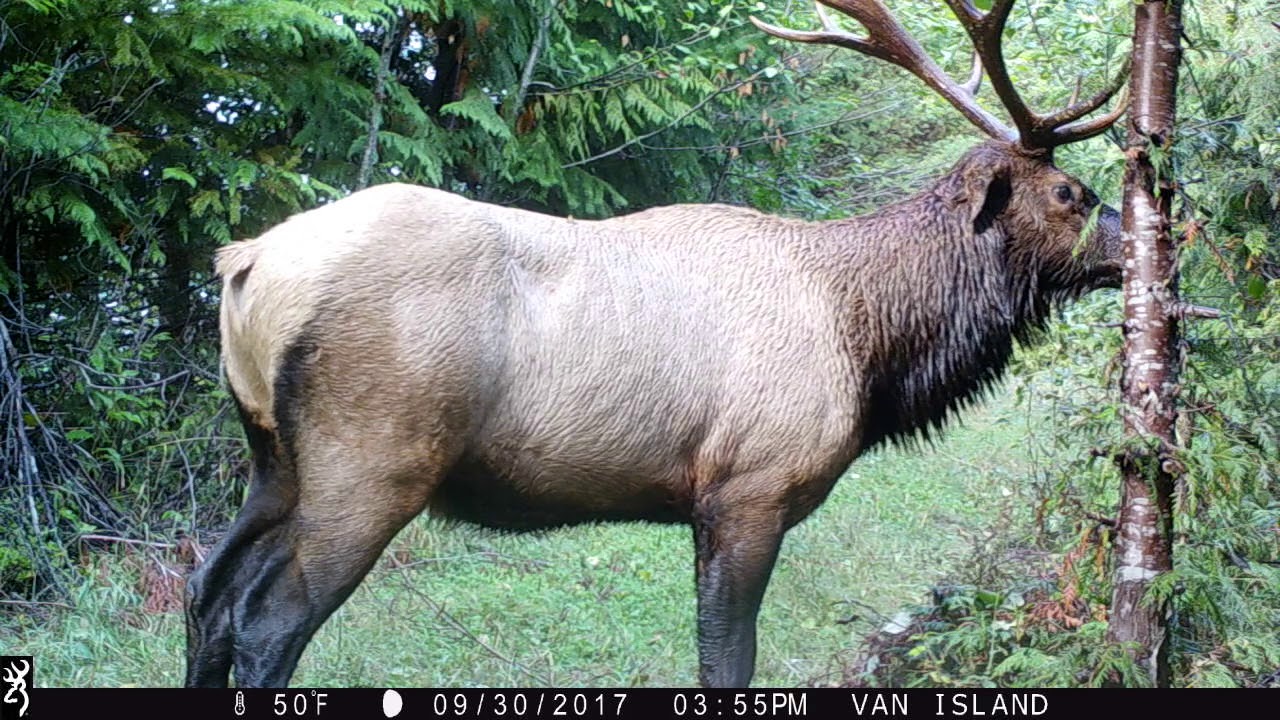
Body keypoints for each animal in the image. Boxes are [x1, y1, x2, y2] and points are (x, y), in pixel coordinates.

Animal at [186, 0, 1128, 688]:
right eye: (1071, 193)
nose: (1145, 241)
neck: (870, 345)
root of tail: (244, 263)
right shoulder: (747, 487)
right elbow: (726, 661)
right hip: (373, 458)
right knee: (268, 622)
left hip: (273, 456)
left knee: (208, 597)